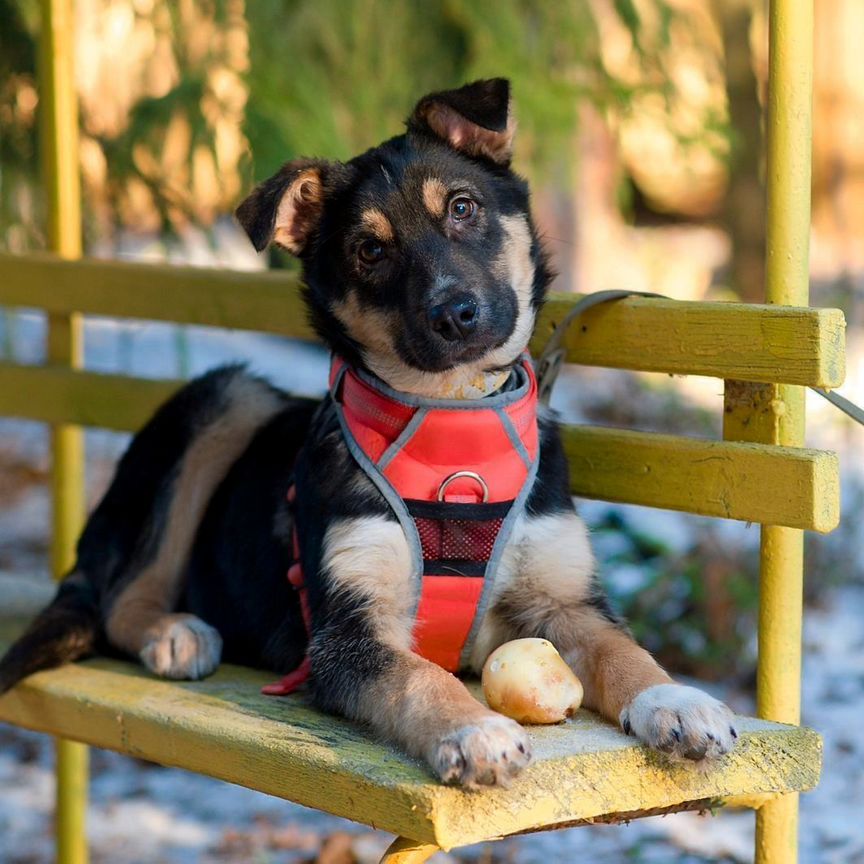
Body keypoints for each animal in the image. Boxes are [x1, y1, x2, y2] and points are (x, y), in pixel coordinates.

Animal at [0, 77, 736, 788]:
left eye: (463, 207)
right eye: (370, 250)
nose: (455, 315)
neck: (451, 421)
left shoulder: (566, 600)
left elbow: (623, 649)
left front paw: (678, 701)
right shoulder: (346, 633)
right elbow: (419, 676)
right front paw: (475, 731)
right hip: (227, 398)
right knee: (122, 594)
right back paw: (176, 634)